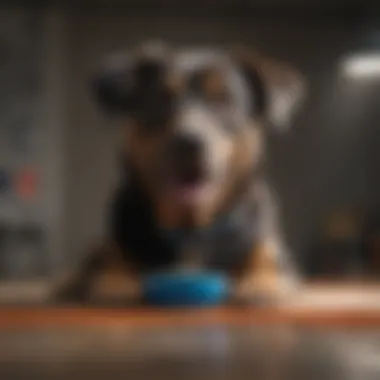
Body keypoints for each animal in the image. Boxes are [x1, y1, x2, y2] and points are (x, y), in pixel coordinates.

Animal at [54, 41, 306, 304]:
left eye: (222, 100)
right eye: (161, 100)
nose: (187, 142)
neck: (190, 231)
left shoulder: (269, 246)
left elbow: (266, 258)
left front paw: (262, 282)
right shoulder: (115, 243)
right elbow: (111, 262)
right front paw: (114, 280)